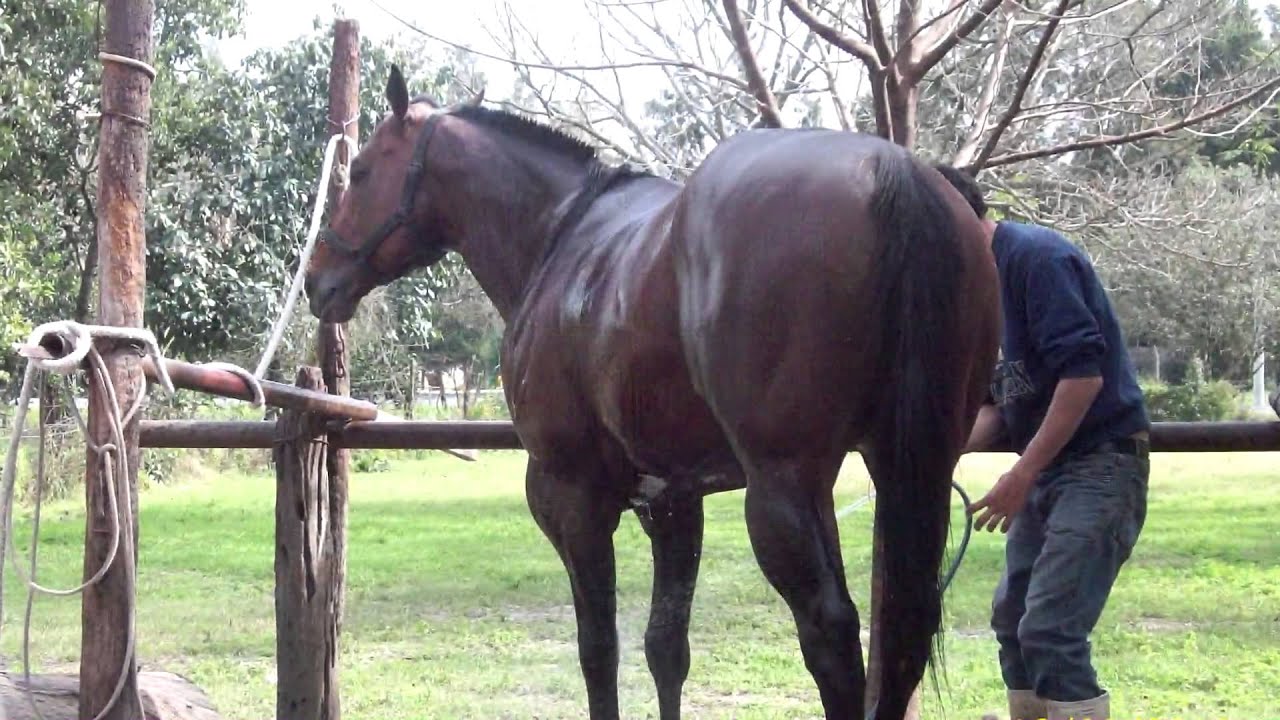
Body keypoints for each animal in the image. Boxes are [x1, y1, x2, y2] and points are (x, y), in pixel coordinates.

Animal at [305, 65, 1000, 720]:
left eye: (360, 172)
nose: (317, 280)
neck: (561, 238)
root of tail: (893, 169)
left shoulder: (572, 499)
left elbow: (598, 650)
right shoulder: (672, 503)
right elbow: (666, 648)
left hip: (786, 489)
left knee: (831, 634)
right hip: (912, 468)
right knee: (907, 625)